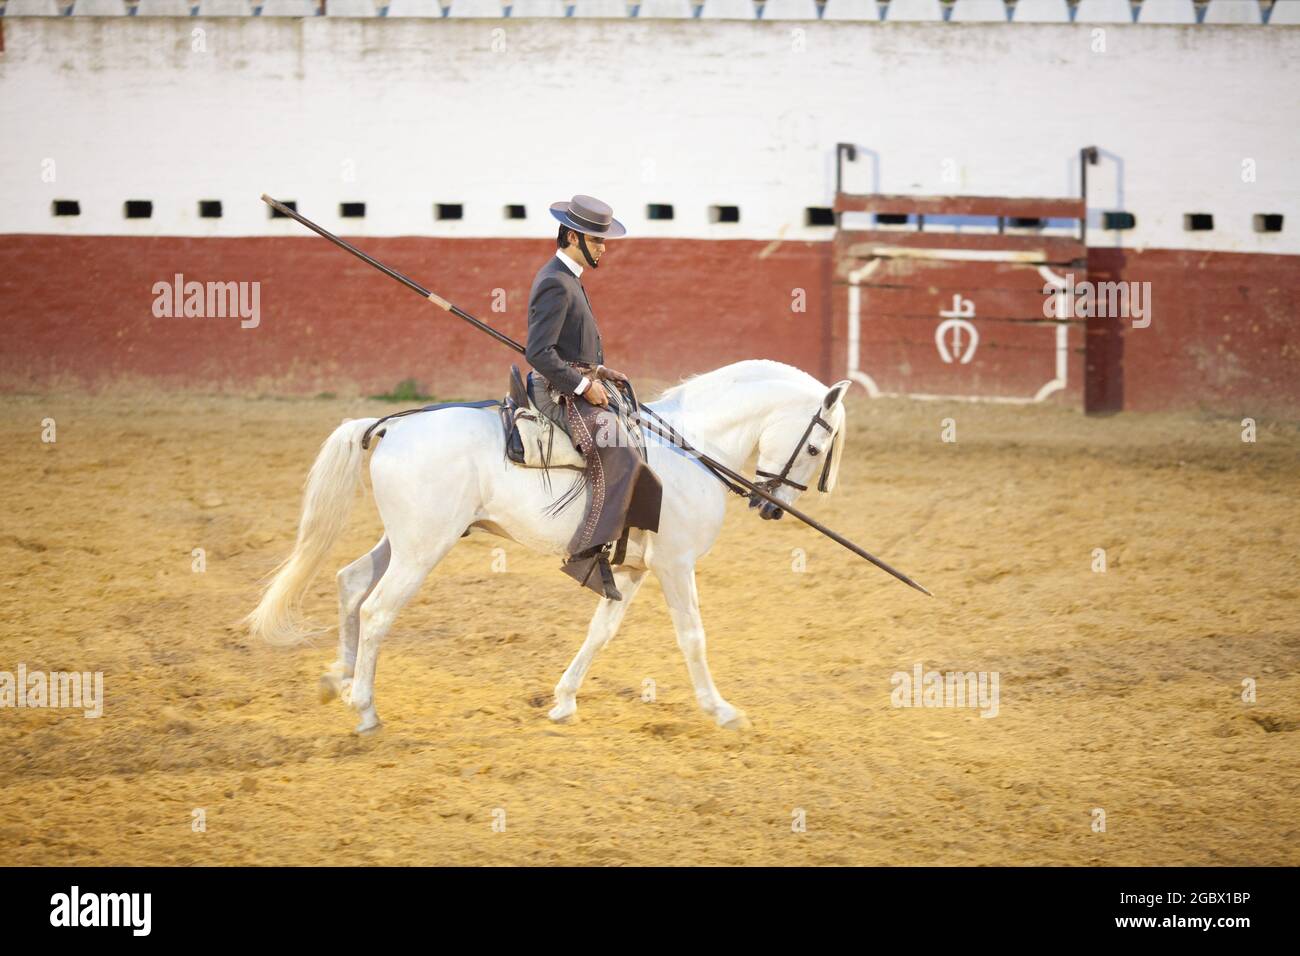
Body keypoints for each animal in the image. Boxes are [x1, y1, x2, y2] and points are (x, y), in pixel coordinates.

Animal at [245, 359, 851, 734]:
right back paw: (366, 710)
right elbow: (693, 639)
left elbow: (601, 633)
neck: (689, 449)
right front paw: (723, 711)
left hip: (407, 539)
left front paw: (563, 701)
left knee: (351, 582)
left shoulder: (631, 570)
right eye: (815, 447)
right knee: (376, 610)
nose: (772, 506)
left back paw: (337, 681)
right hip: (422, 550)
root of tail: (390, 427)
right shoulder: (676, 565)